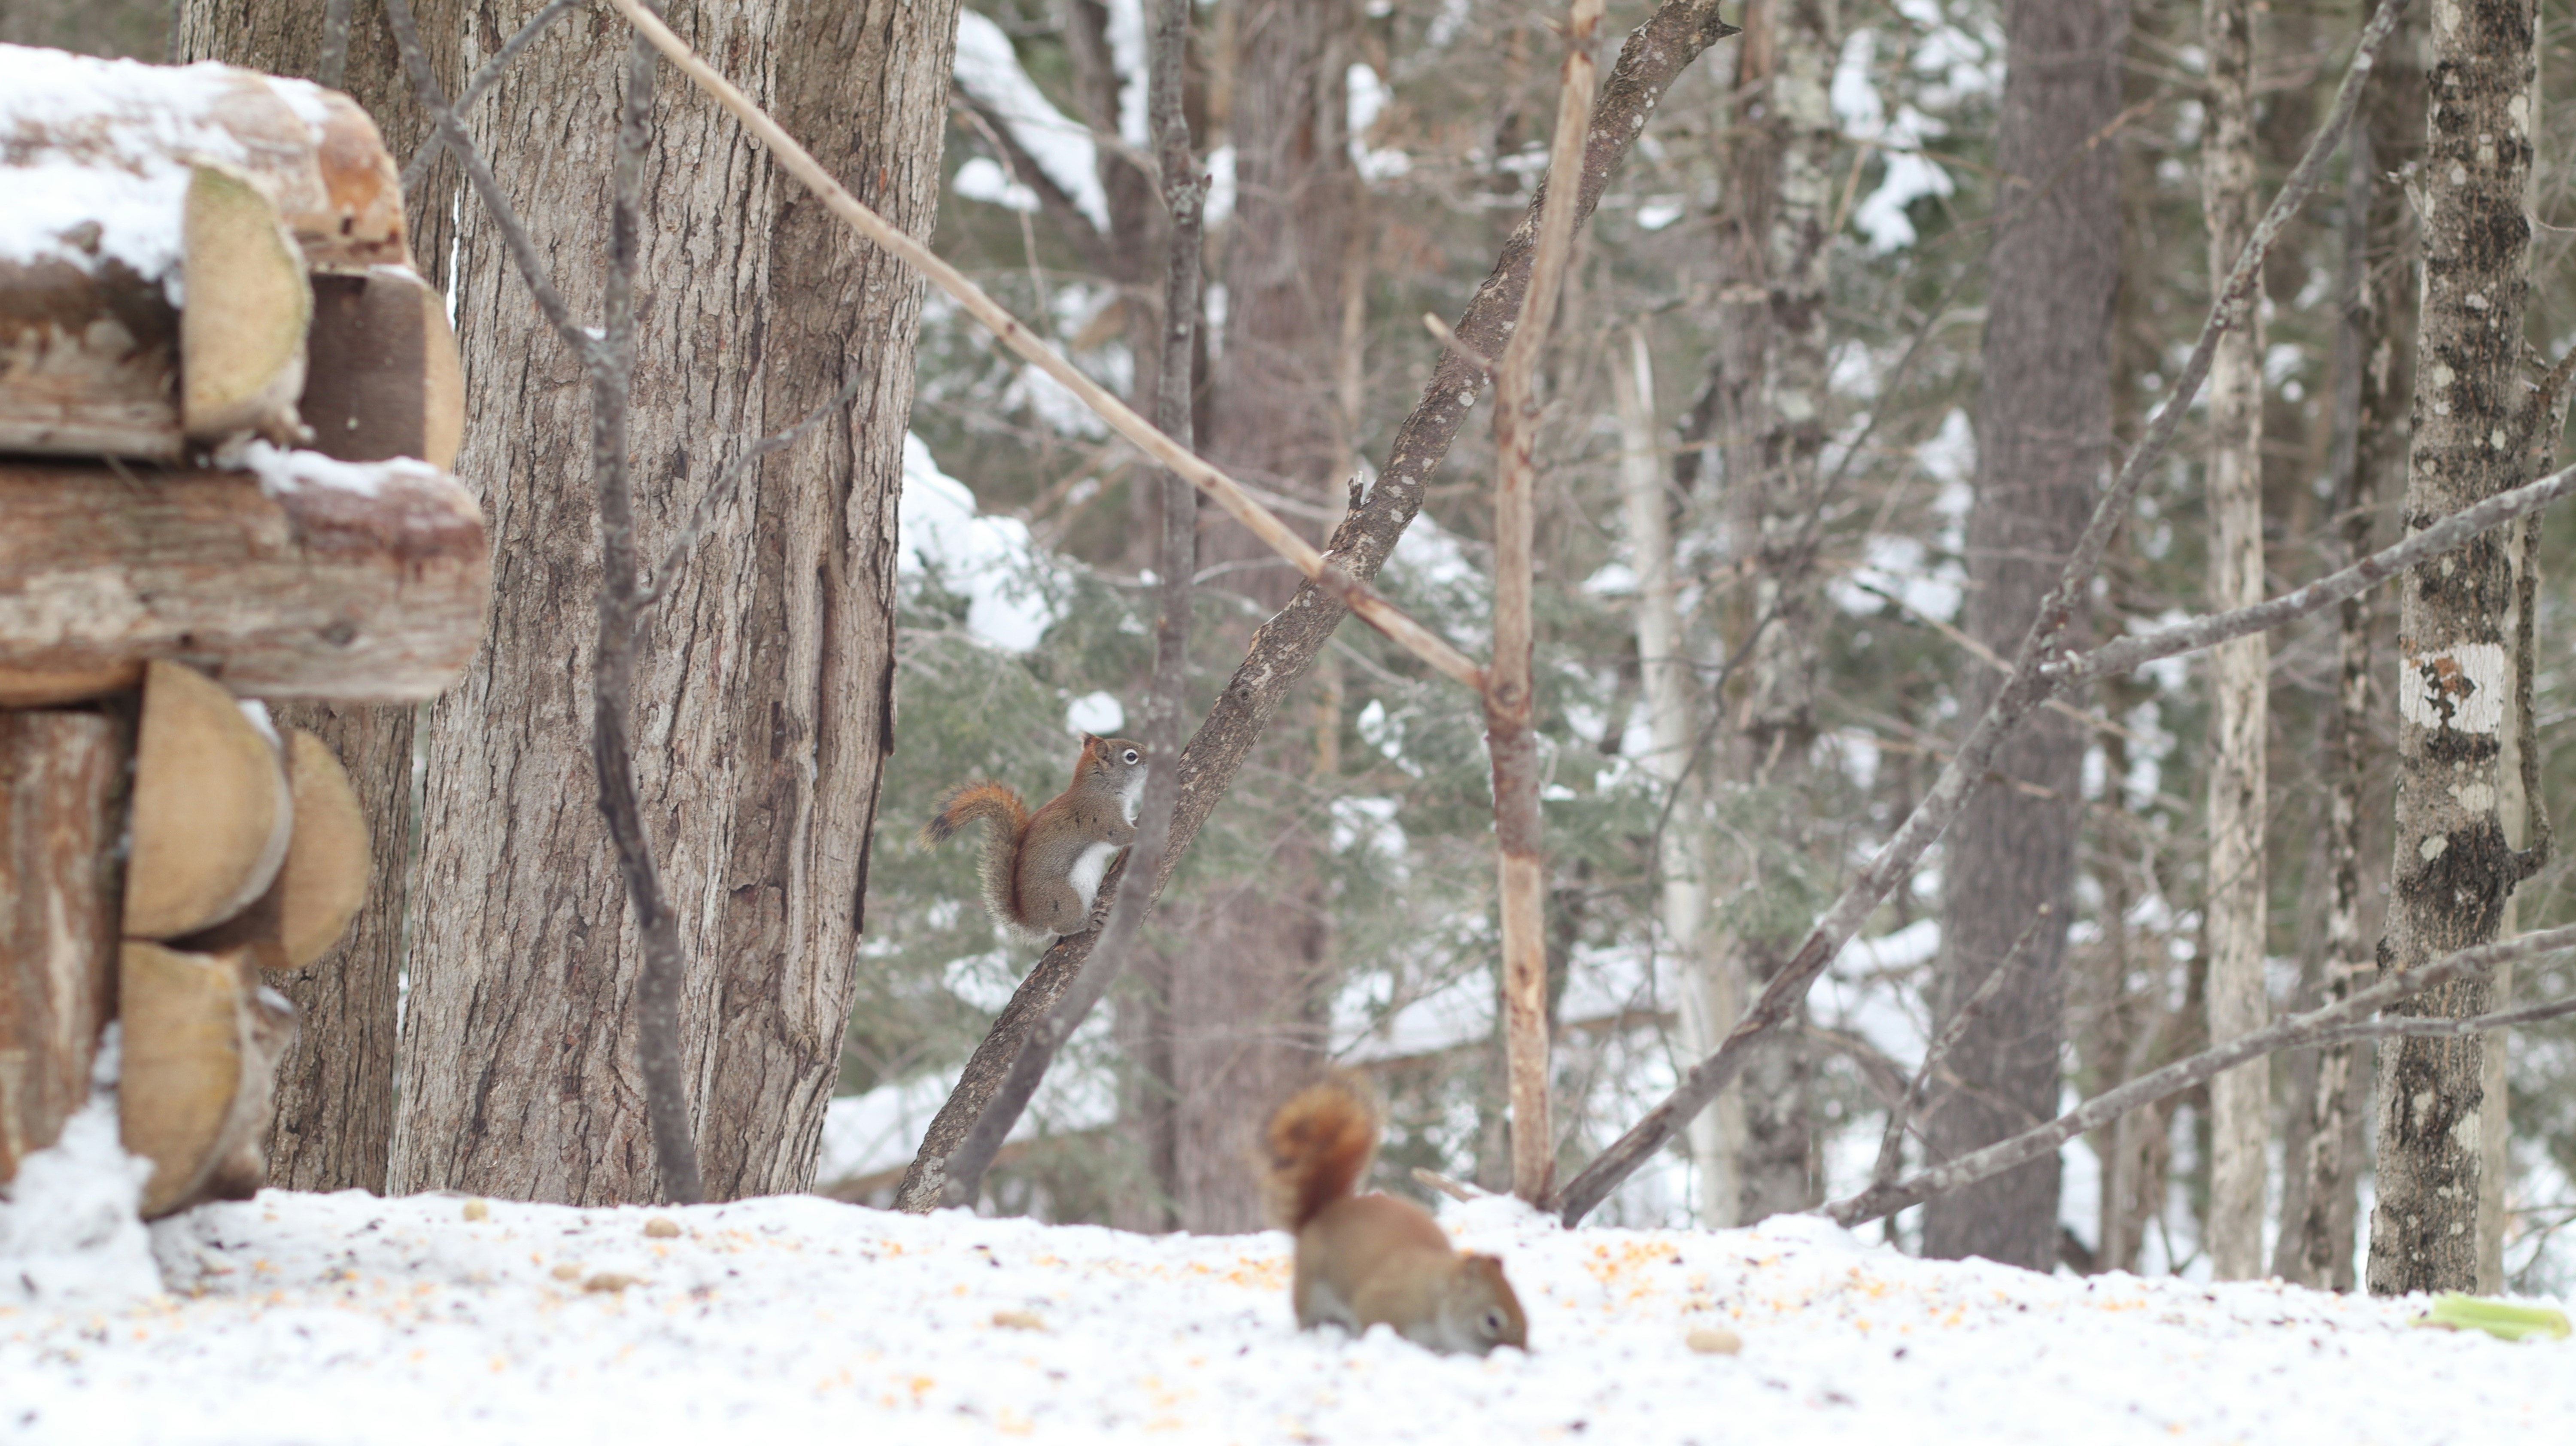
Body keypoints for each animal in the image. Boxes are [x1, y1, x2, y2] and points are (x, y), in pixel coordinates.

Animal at [919, 733, 1148, 939]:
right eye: (1131, 757)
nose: (1151, 758)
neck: (1101, 787)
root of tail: (1034, 920)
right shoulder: (1102, 817)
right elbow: (1119, 835)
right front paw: (1141, 831)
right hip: (1064, 897)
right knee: (1062, 927)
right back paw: (1087, 922)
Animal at [1263, 1074, 1528, 1356]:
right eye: (1492, 1321)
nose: (1522, 1351)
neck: (1435, 1298)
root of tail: (1323, 1213)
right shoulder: (1382, 1303)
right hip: (1311, 1287)